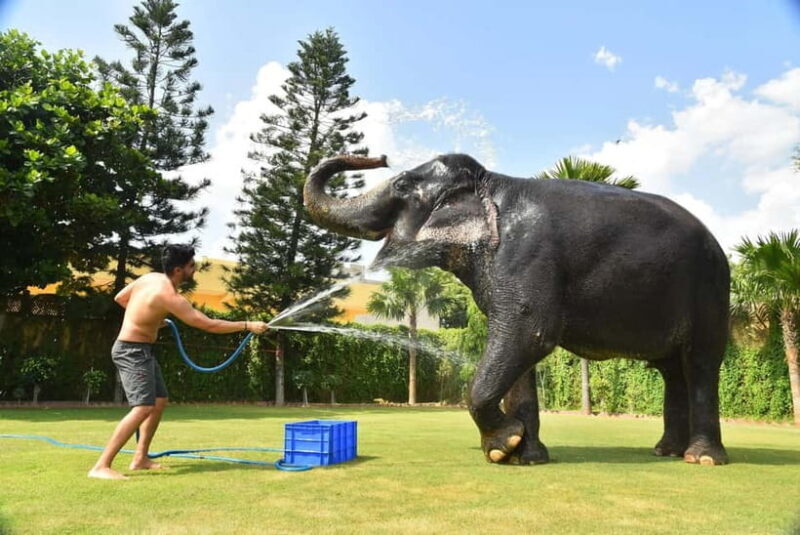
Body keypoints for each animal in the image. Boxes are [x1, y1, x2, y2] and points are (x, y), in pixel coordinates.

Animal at [303, 153, 730, 466]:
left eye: (402, 185)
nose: (379, 157)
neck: (491, 182)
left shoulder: (528, 257)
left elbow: (530, 334)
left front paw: (503, 444)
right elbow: (519, 353)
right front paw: (522, 456)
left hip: (709, 291)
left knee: (701, 363)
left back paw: (702, 459)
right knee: (672, 370)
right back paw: (666, 452)